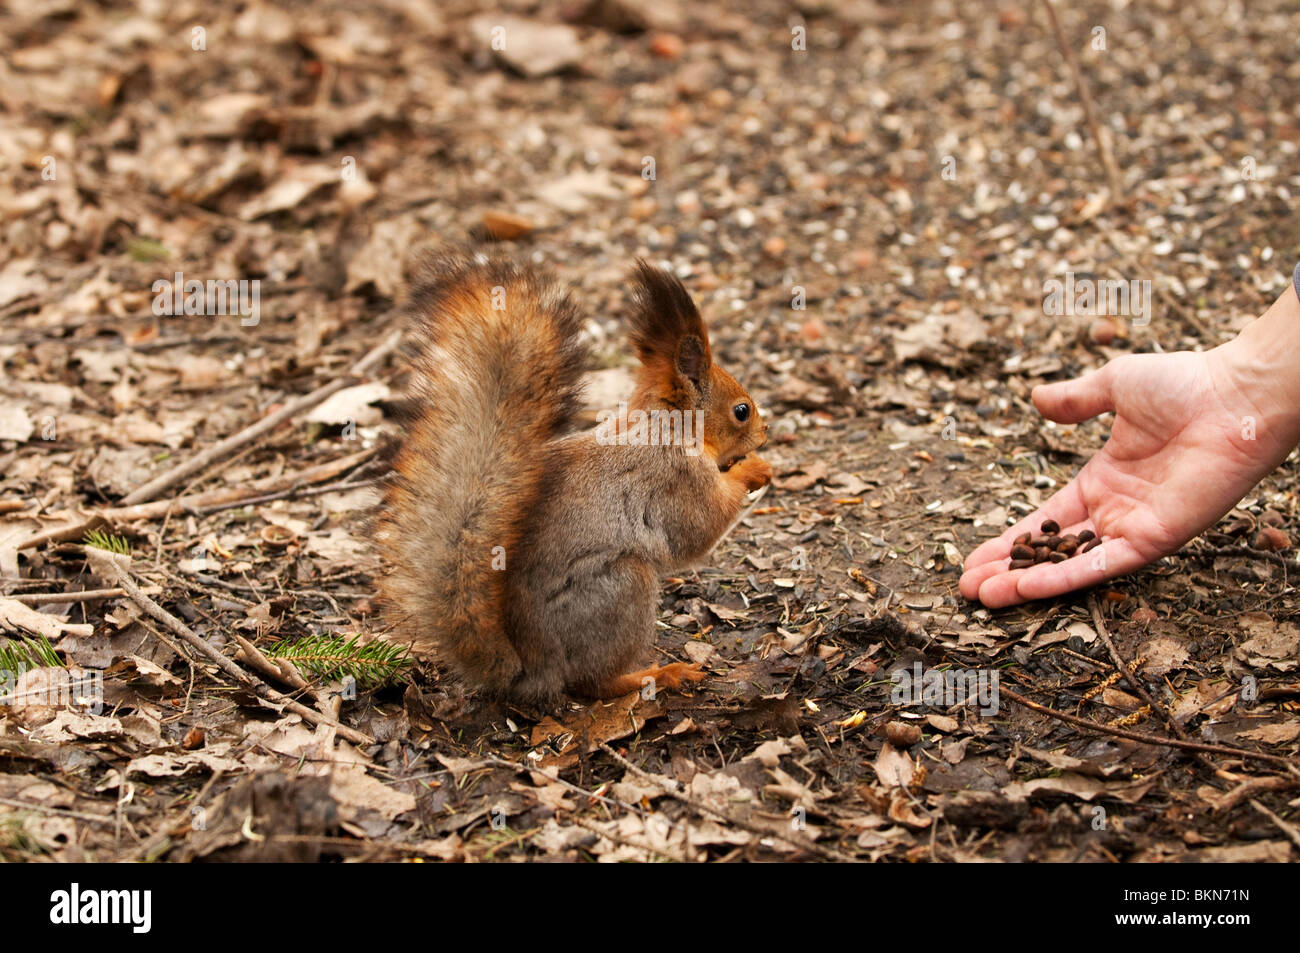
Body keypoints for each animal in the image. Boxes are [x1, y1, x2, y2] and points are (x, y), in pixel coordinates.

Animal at [375, 254, 772, 710]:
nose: (765, 433)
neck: (666, 426)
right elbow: (700, 528)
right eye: (741, 410)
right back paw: (659, 675)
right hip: (621, 589)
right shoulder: (675, 478)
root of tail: (529, 670)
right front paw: (753, 470)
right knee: (591, 683)